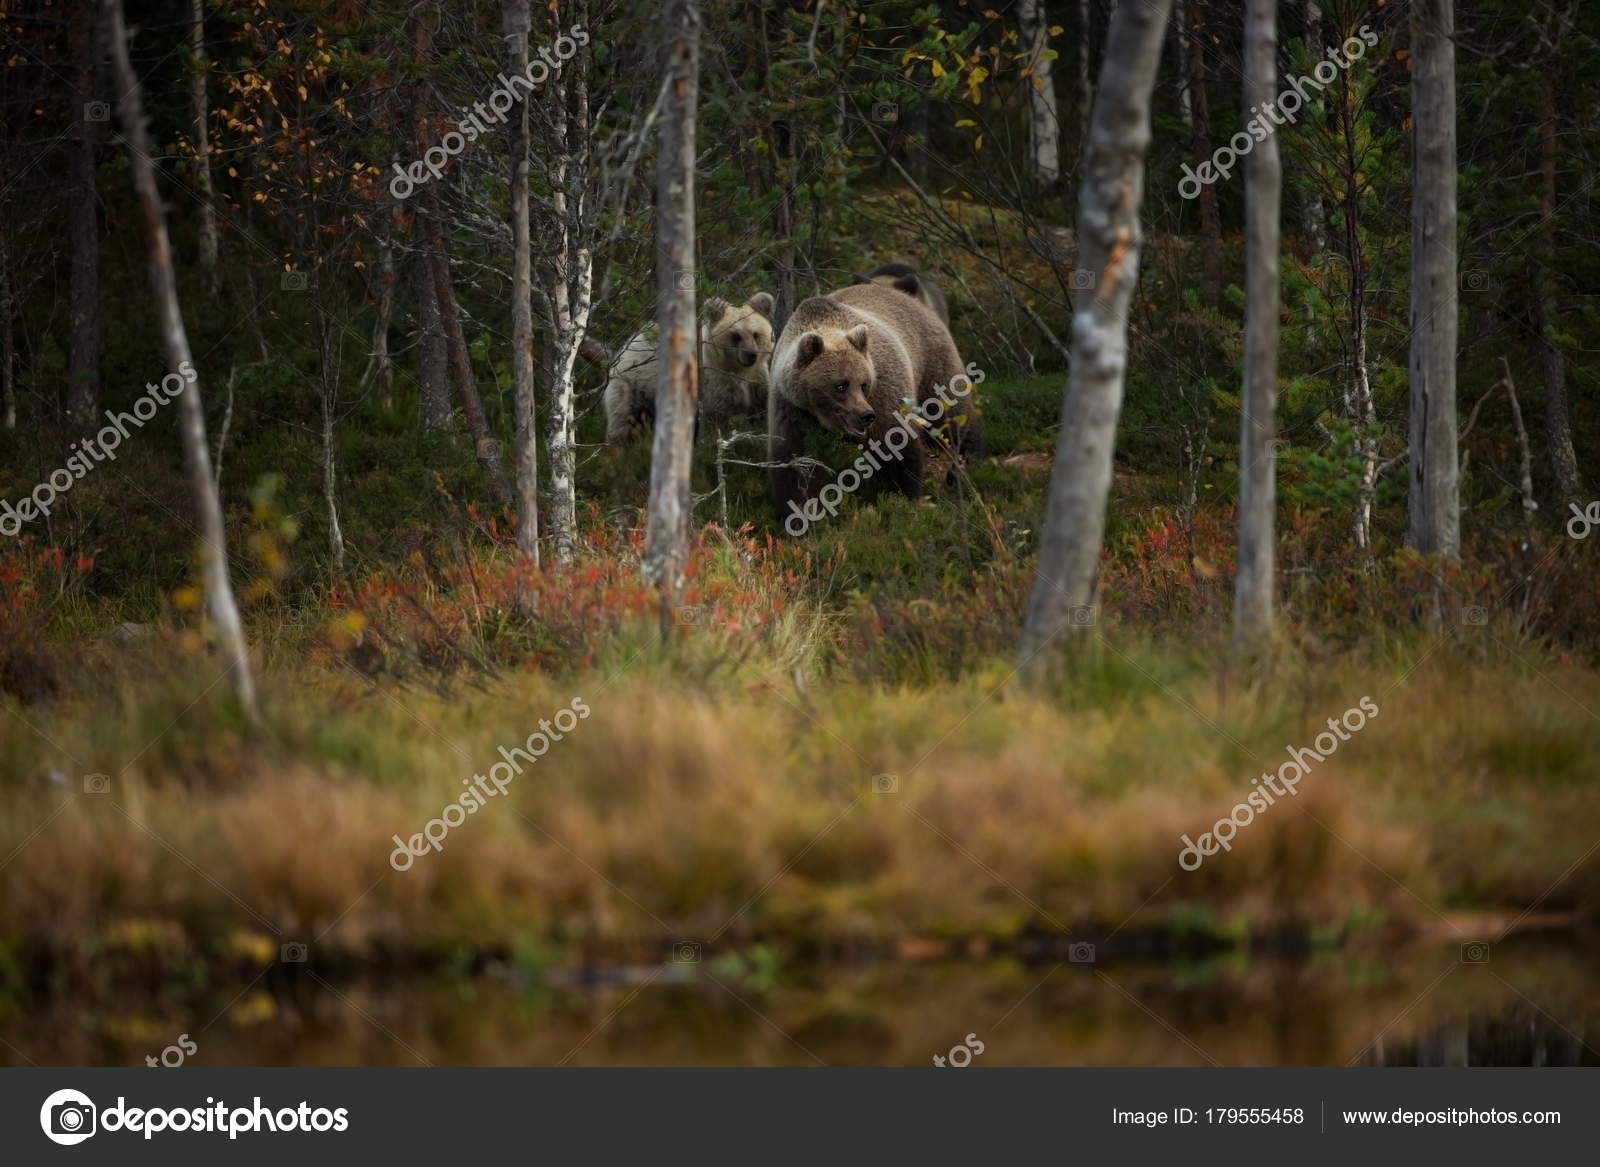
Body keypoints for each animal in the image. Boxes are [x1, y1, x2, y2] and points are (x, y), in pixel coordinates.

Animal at [604, 292, 775, 446]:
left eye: (756, 334)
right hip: (633, 385)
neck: (738, 371)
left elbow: (762, 407)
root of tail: (629, 343)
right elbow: (718, 417)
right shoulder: (715, 384)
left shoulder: (756, 380)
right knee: (624, 418)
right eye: (736, 335)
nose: (751, 355)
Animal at [767, 281, 983, 530]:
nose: (865, 415)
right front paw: (798, 517)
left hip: (932, 363)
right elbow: (794, 463)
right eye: (841, 385)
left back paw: (963, 463)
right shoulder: (792, 409)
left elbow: (895, 447)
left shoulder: (884, 393)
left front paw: (903, 498)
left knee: (950, 412)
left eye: (863, 383)